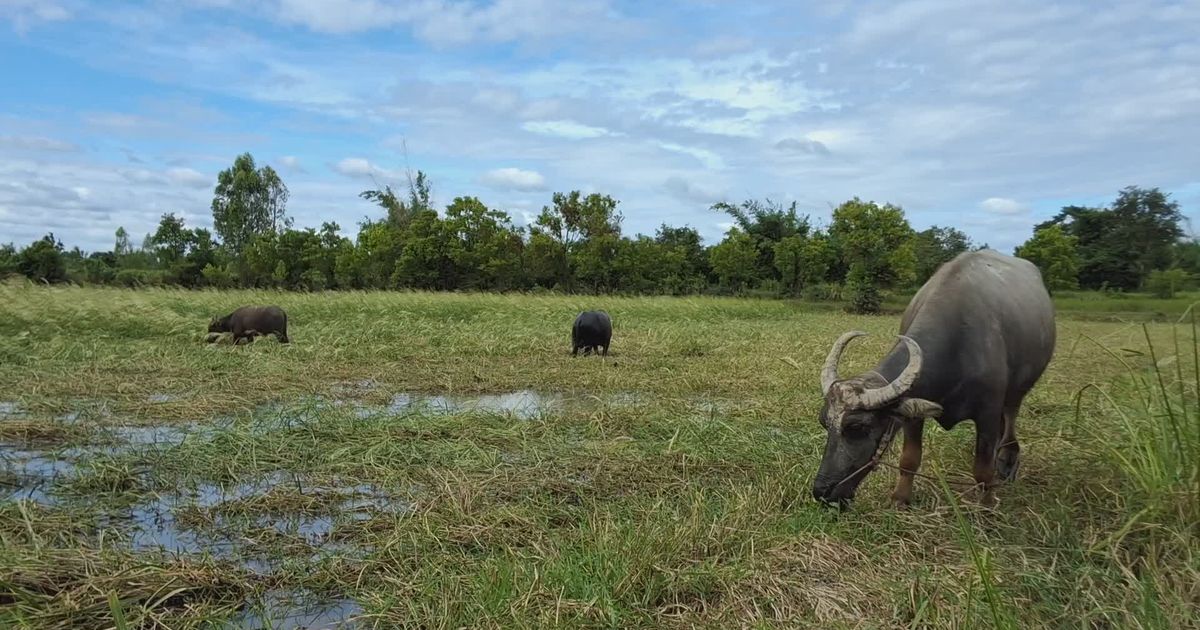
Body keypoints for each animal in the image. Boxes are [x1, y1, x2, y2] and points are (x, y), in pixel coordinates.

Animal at [811, 249, 1055, 508]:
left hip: (1018, 389)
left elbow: (982, 470)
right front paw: (900, 498)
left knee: (1010, 416)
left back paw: (1007, 460)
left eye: (857, 427)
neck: (958, 346)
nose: (822, 491)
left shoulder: (987, 412)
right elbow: (909, 459)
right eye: (824, 422)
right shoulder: (913, 412)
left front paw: (988, 503)